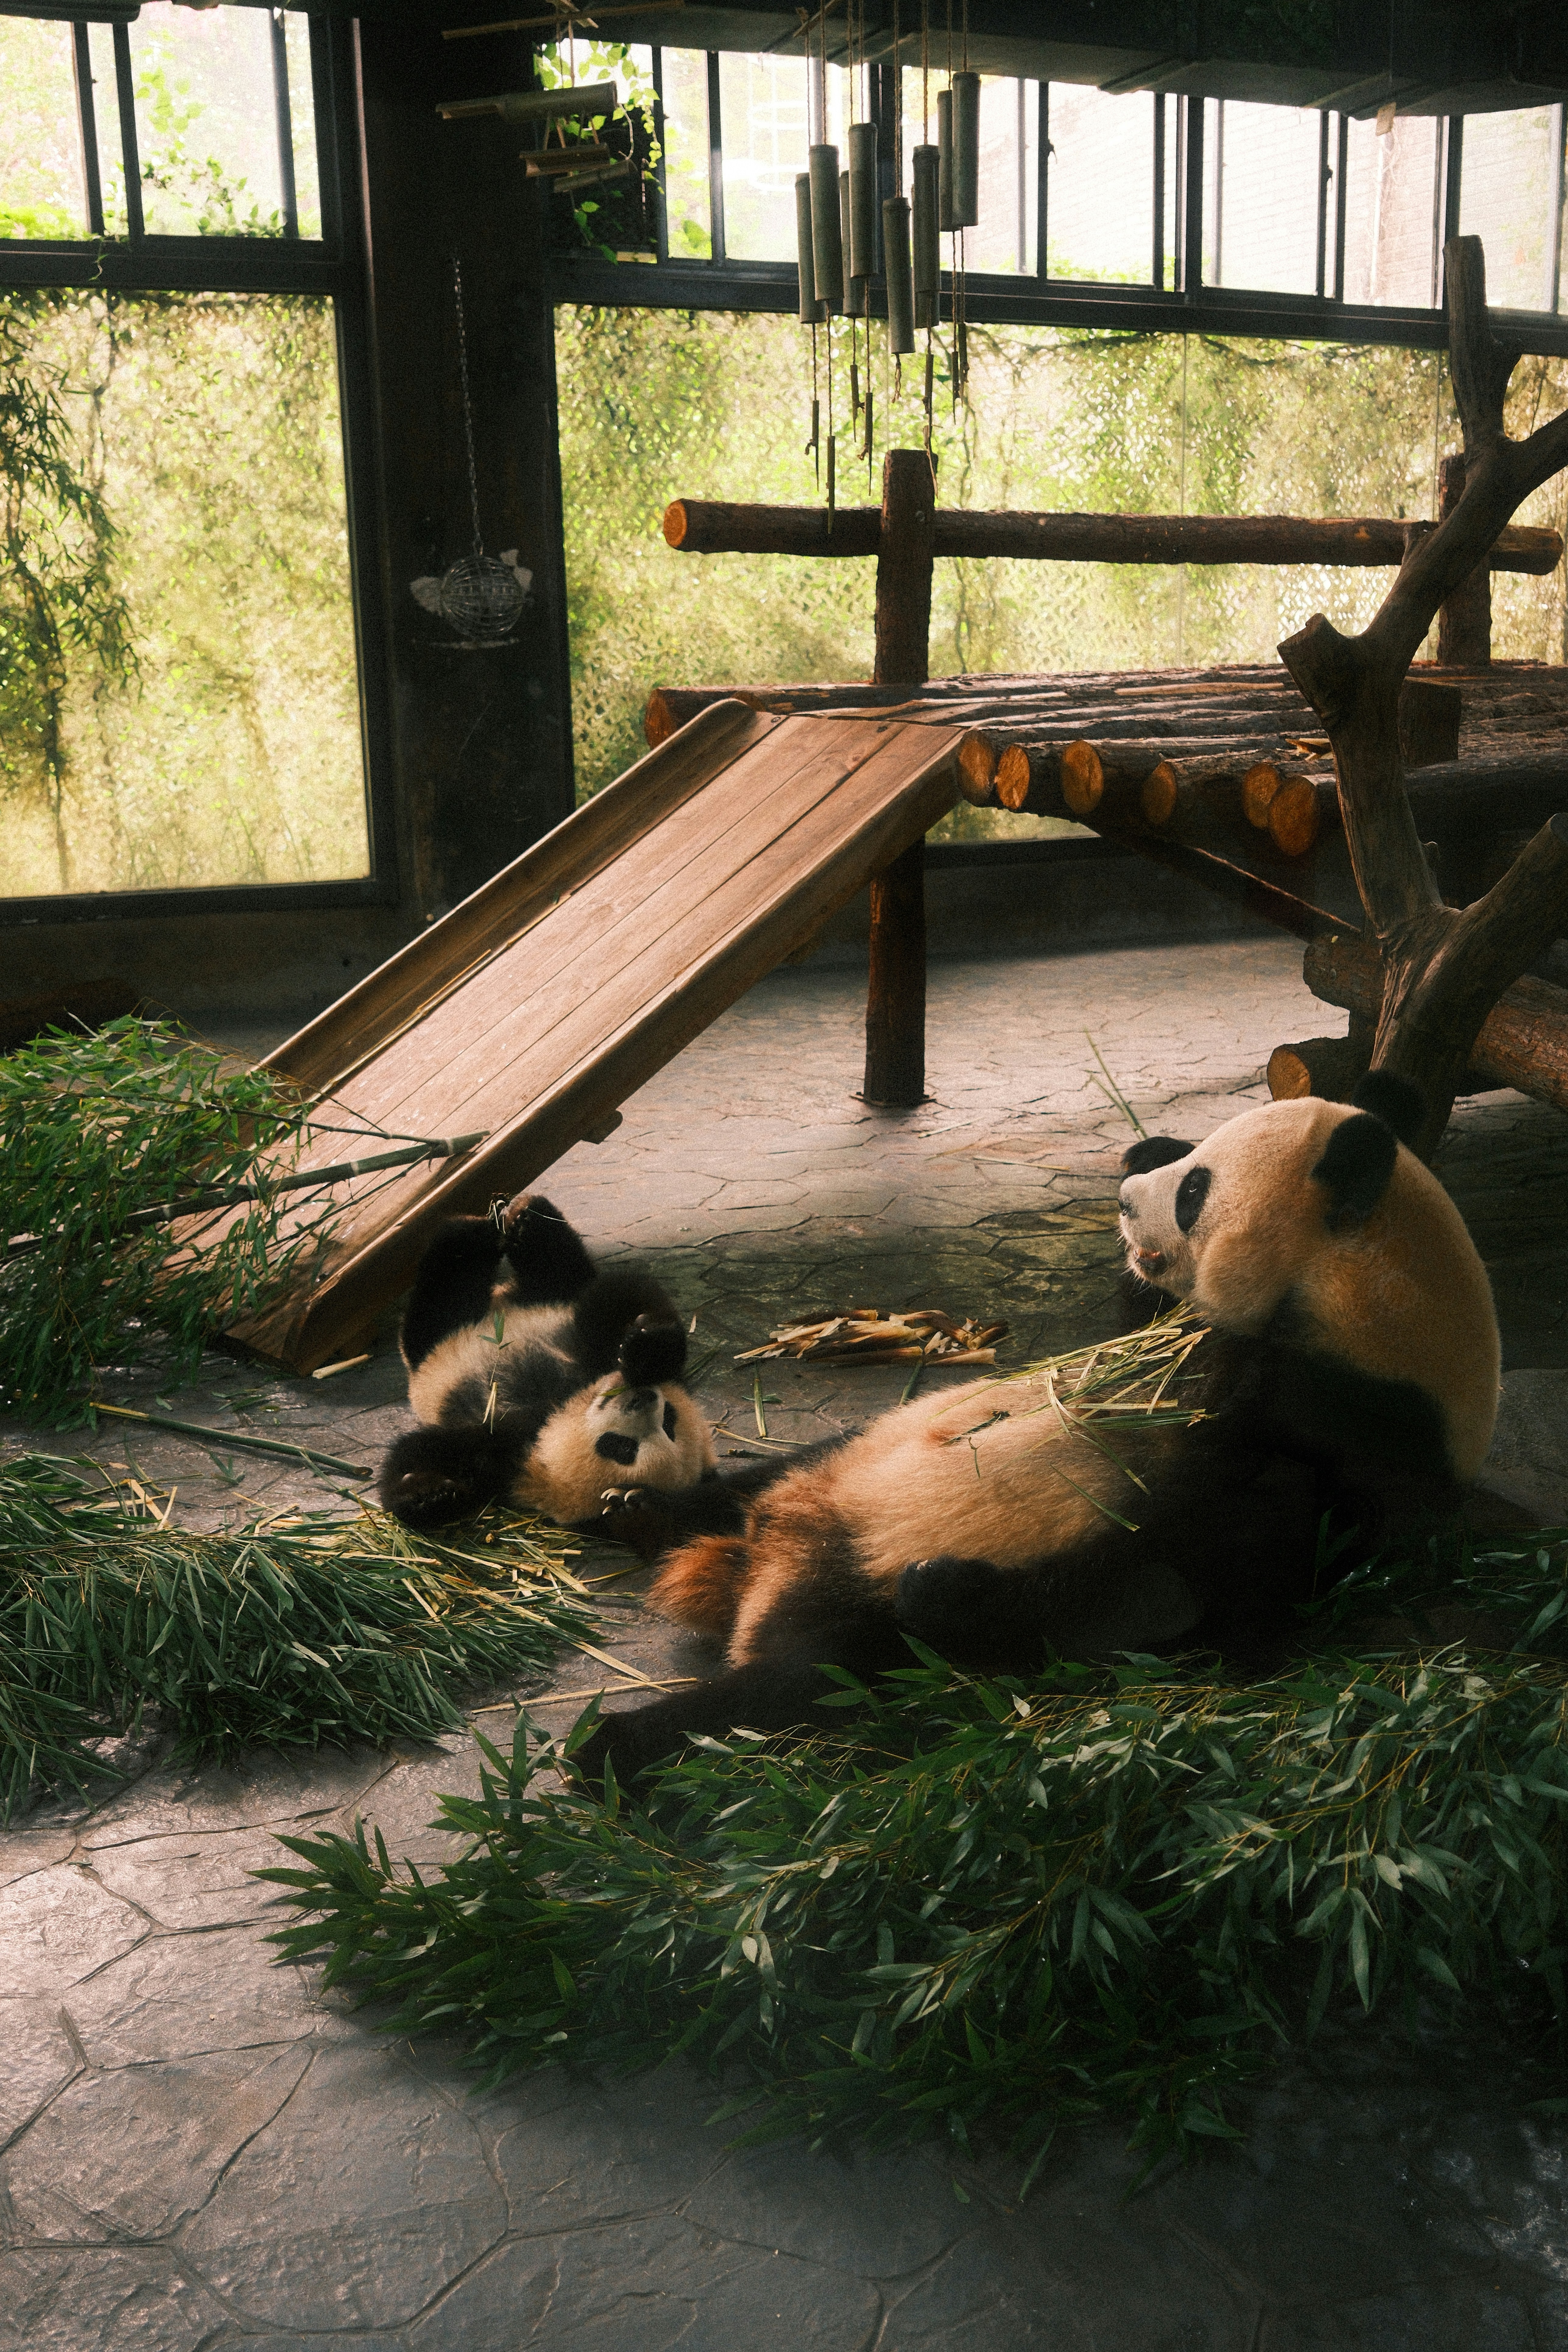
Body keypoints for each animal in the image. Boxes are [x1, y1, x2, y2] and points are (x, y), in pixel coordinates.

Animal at [376, 1194, 717, 1532]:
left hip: (436, 1341)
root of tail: (503, 1299)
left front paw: (431, 1496)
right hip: (549, 1298)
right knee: (557, 1267)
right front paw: (646, 1349)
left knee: (443, 1299)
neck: (562, 1406)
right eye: (670, 1419)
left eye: (624, 1448)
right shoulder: (589, 1361)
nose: (642, 1398)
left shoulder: (510, 1453)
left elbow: (430, 1450)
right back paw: (515, 1220)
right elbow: (623, 1298)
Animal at [570, 1072, 1500, 1785]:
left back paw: (615, 1743)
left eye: (1196, 1192)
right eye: (1190, 1162)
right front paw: (1142, 1150)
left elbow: (1169, 1587)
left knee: (799, 1681)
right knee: (770, 1476)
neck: (1363, 1306)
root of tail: (764, 1567)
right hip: (844, 1458)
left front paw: (948, 1588)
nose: (1123, 1199)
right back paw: (646, 1514)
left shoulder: (1341, 1423)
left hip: (844, 1612)